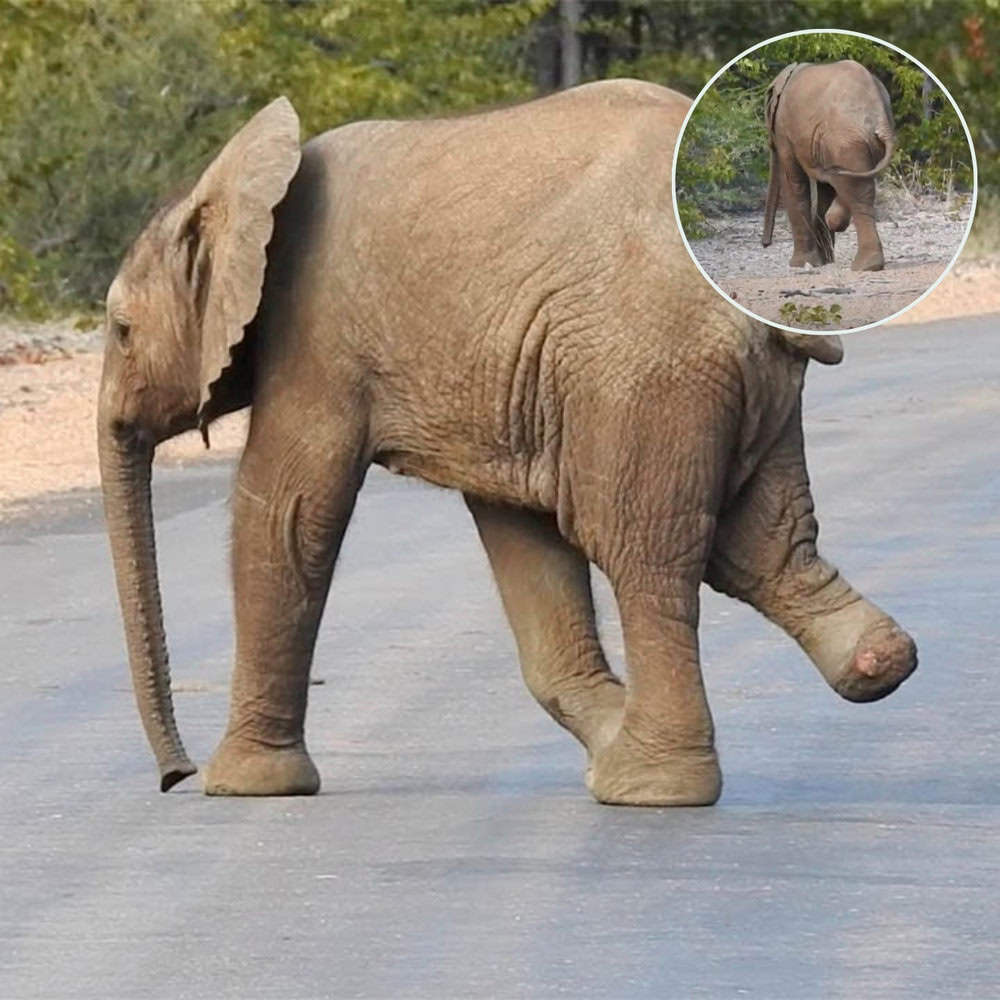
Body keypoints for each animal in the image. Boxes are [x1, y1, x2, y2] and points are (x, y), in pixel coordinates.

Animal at [762, 60, 895, 271]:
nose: (765, 244)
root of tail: (880, 119)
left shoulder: (784, 131)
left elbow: (794, 182)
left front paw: (801, 264)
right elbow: (824, 188)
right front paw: (824, 261)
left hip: (844, 141)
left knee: (853, 188)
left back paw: (862, 264)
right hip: (854, 143)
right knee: (858, 187)